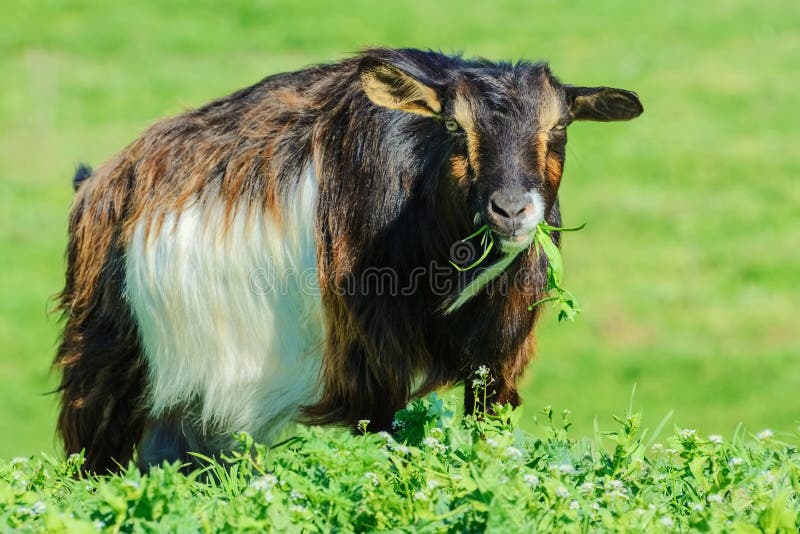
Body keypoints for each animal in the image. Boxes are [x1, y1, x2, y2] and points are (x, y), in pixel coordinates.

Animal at [54, 48, 643, 472]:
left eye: (560, 127)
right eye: (454, 126)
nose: (512, 210)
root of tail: (97, 182)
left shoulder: (496, 360)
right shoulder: (371, 359)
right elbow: (387, 438)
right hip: (107, 358)